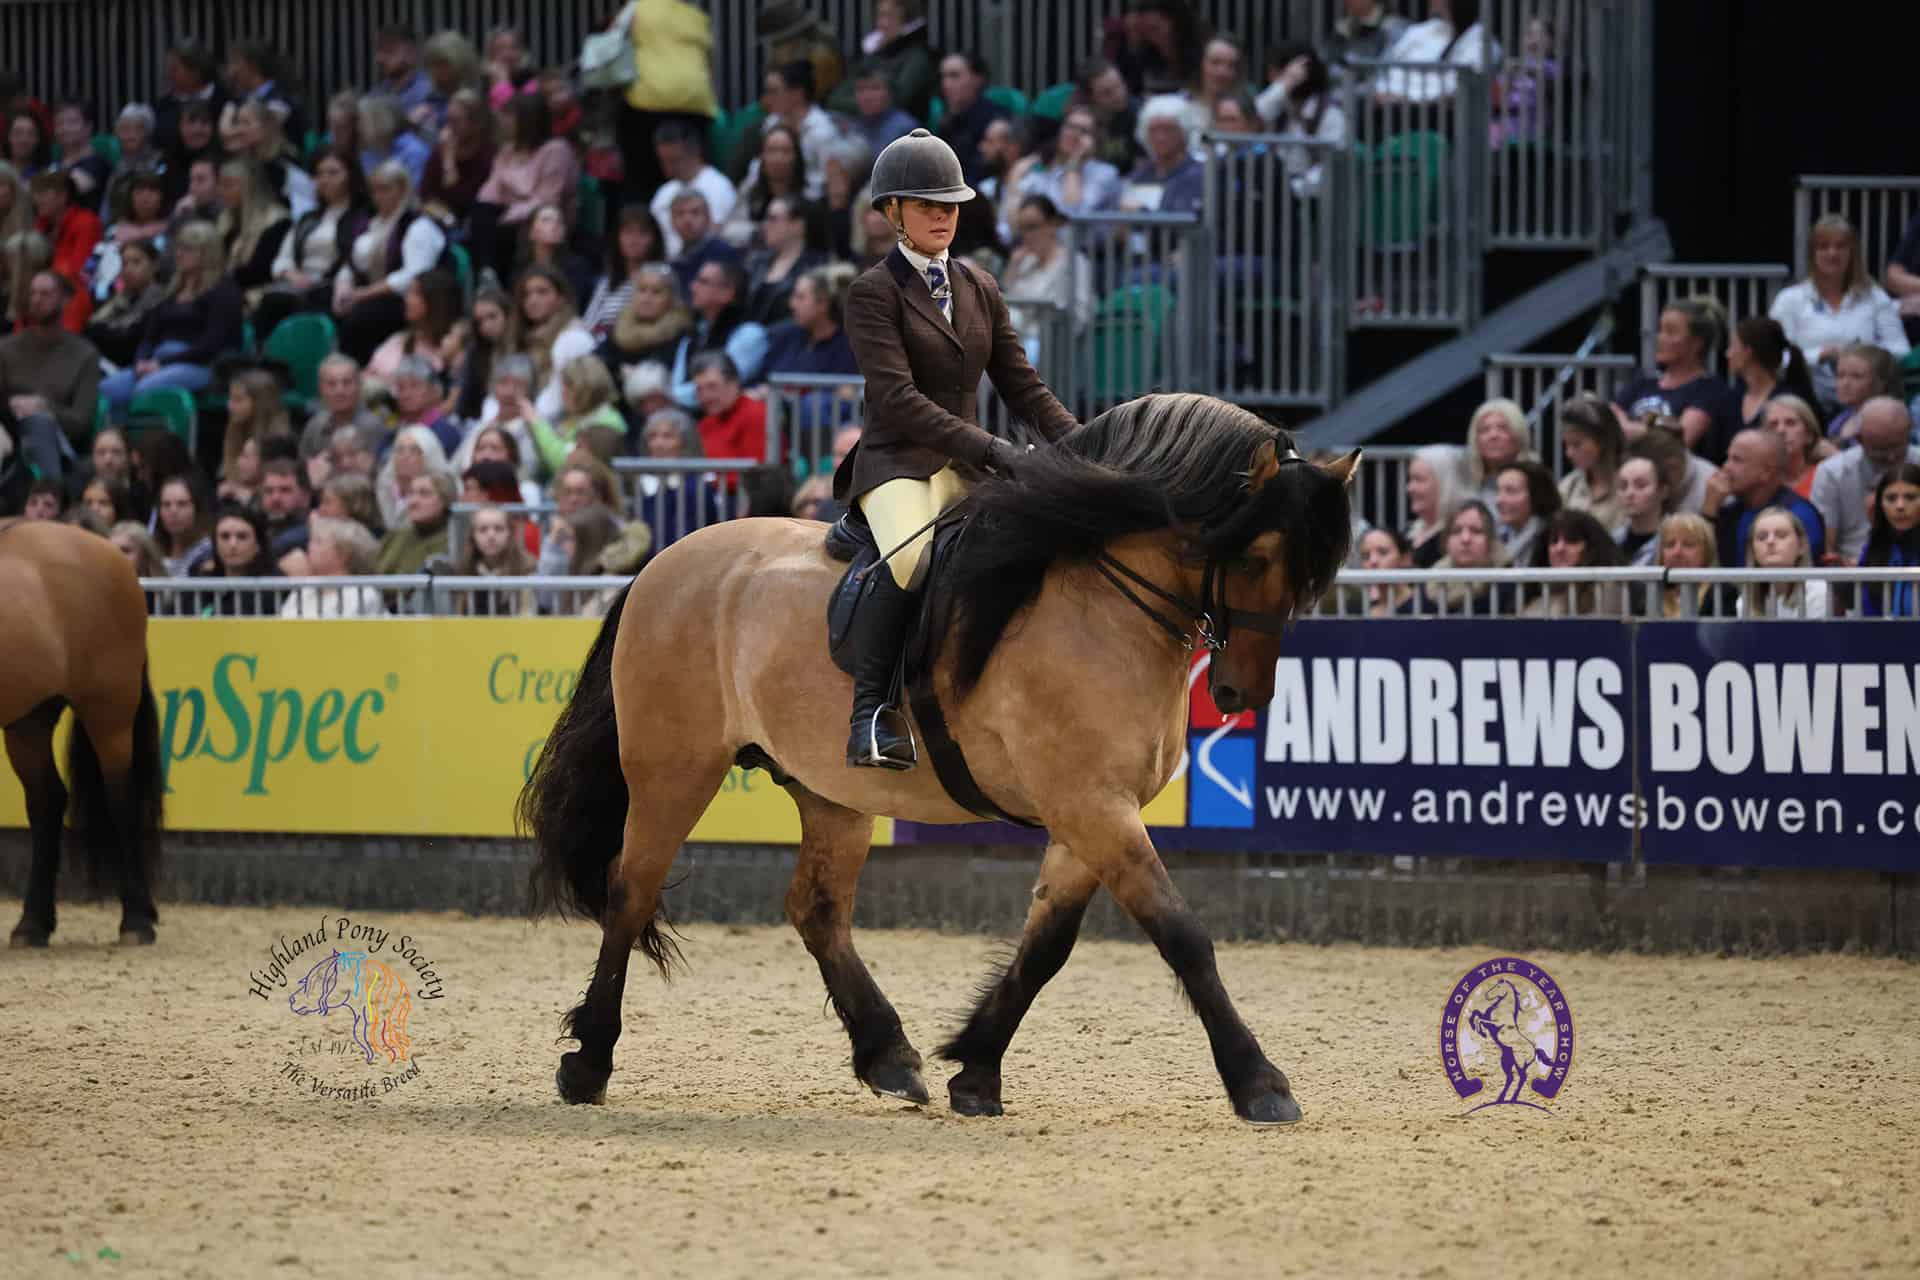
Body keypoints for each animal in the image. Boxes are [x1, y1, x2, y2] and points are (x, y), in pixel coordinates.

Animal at [1, 519, 164, 946]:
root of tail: (111, 553)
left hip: (109, 711)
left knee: (120, 798)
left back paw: (136, 921)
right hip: (28, 719)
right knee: (46, 802)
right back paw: (32, 924)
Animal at [521, 393, 1358, 1125]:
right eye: (1252, 555)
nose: (1242, 691)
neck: (1097, 603)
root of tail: (664, 561)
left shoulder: (1091, 811)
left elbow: (1047, 945)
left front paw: (977, 1070)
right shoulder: (1091, 804)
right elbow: (1182, 936)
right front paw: (1260, 1083)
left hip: (832, 790)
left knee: (815, 909)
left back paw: (889, 1055)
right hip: (674, 767)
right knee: (632, 892)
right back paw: (588, 1062)